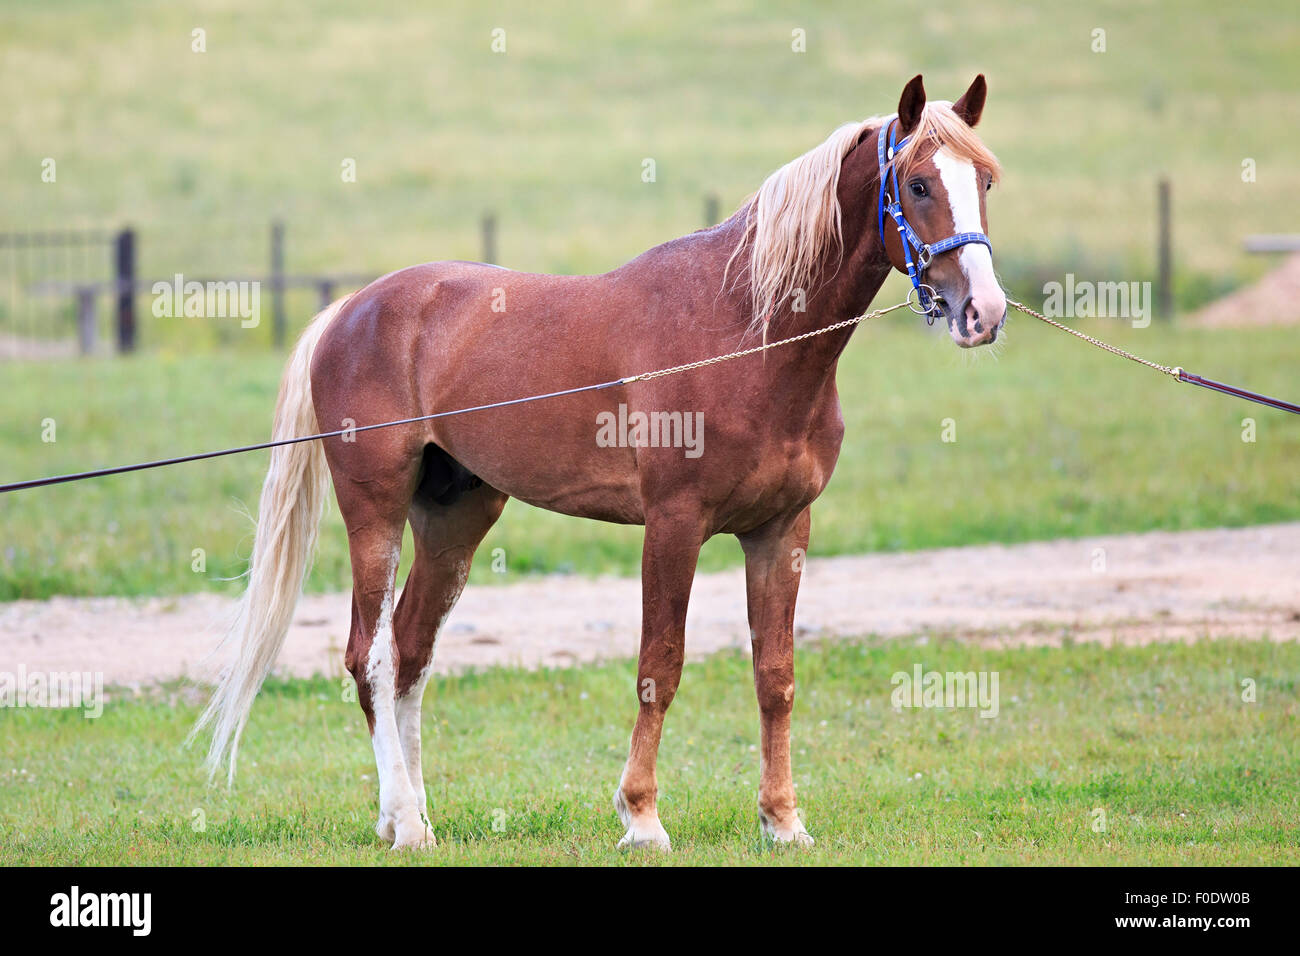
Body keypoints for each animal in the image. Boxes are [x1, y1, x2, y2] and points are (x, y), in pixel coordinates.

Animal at [193, 73, 1006, 851]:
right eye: (917, 184)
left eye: (987, 181)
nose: (985, 313)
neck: (747, 332)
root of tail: (352, 308)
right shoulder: (673, 524)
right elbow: (659, 668)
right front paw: (641, 817)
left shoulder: (781, 531)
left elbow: (775, 677)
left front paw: (783, 821)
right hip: (376, 512)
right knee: (372, 657)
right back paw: (404, 821)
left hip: (455, 518)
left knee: (412, 653)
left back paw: (413, 820)